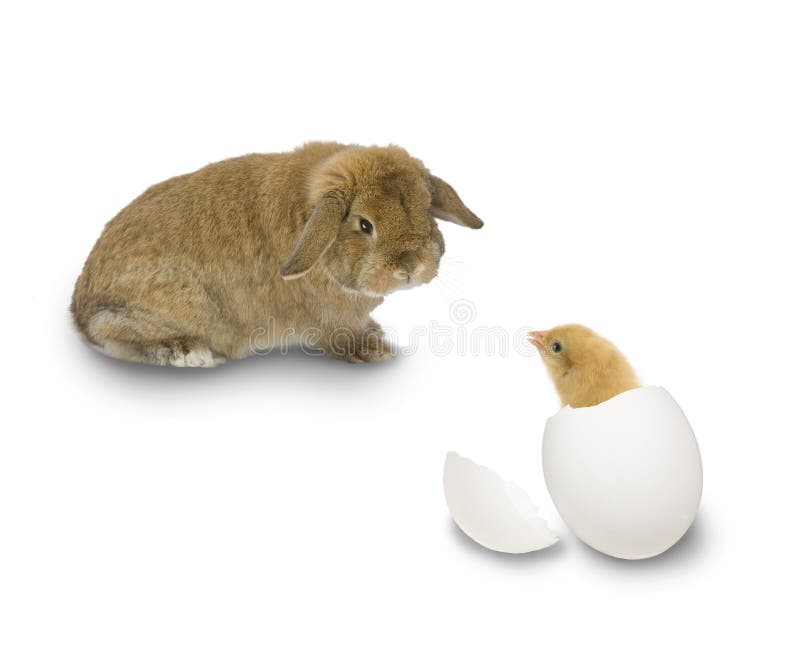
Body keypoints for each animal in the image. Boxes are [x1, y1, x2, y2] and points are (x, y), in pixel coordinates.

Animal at [71, 142, 483, 366]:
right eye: (365, 224)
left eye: (426, 209)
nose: (412, 268)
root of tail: (79, 309)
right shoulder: (328, 318)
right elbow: (337, 336)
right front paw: (373, 351)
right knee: (113, 334)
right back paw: (187, 352)